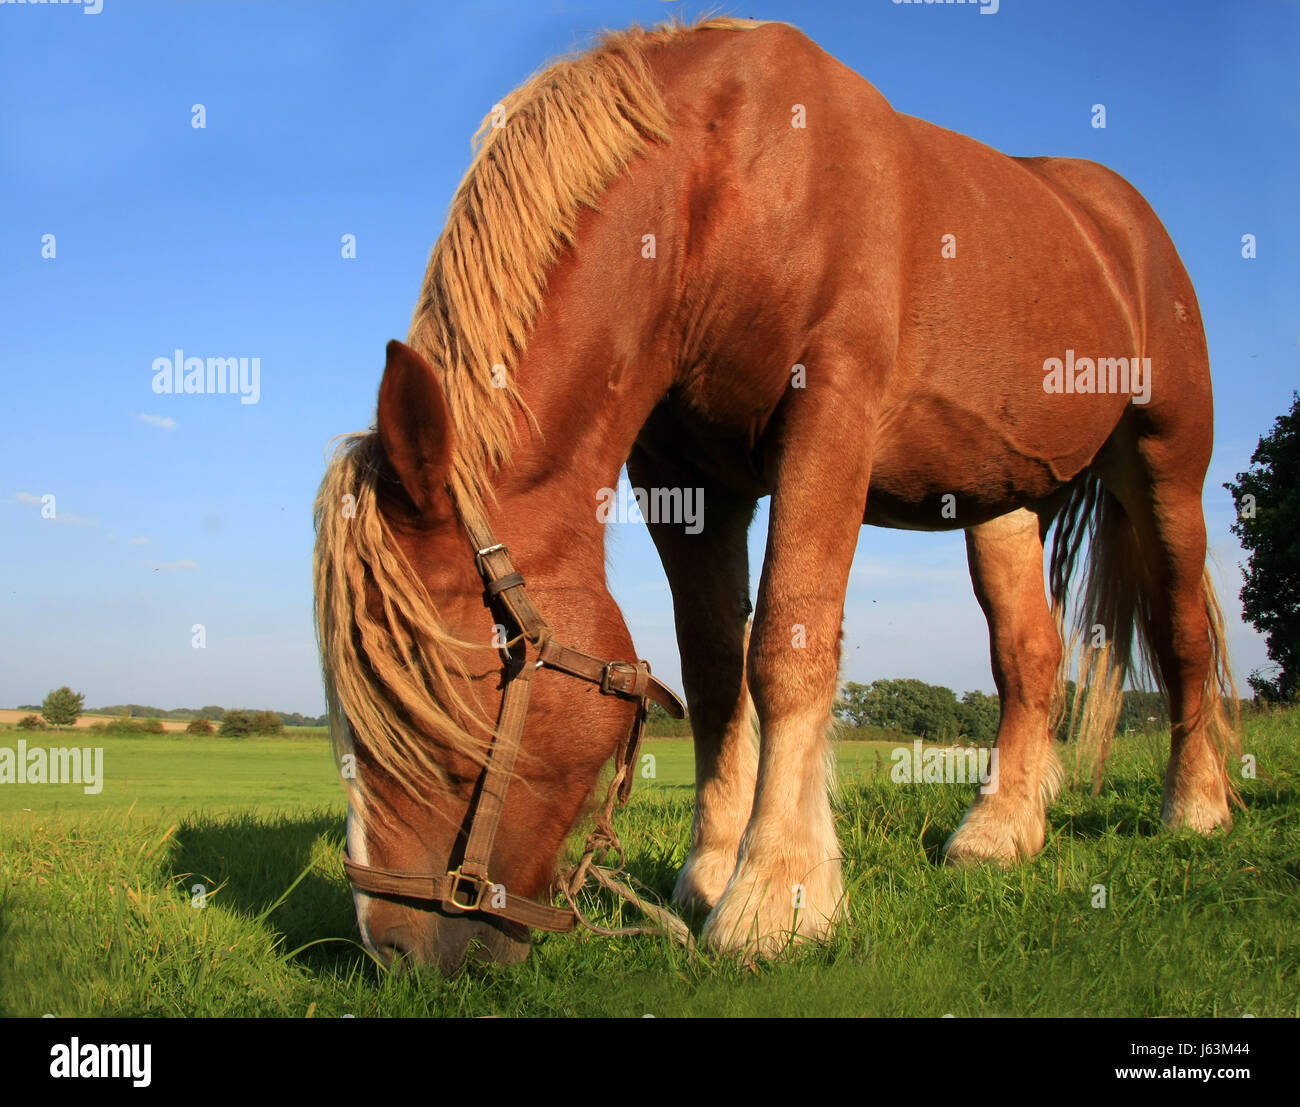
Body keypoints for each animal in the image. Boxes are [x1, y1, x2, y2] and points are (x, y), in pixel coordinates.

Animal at [313, 16, 1239, 972]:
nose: (396, 950)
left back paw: (1196, 806)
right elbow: (717, 671)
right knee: (1028, 657)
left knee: (1183, 632)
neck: (722, 187)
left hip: (1168, 462)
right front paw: (712, 873)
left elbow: (788, 650)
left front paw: (776, 895)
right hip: (1003, 499)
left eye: (436, 699)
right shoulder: (685, 479)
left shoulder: (828, 416)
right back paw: (999, 832)